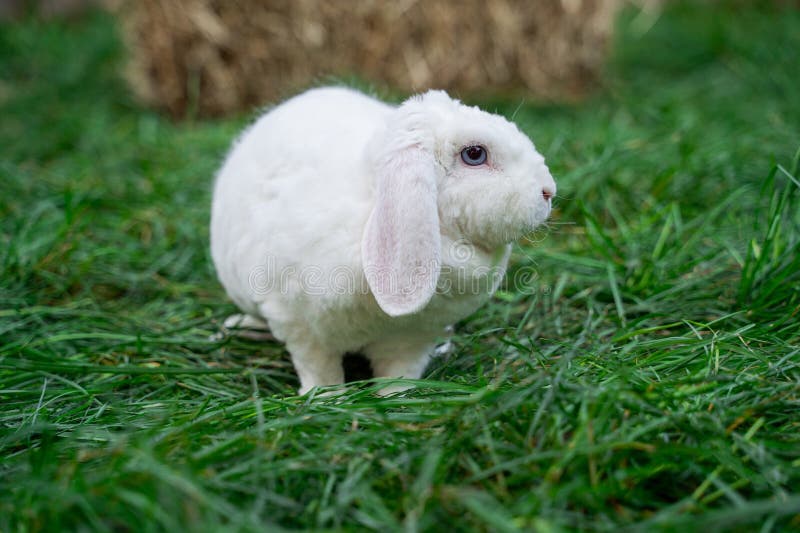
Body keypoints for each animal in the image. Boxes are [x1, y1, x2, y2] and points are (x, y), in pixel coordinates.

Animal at [210, 86, 556, 395]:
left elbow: (399, 374)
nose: (548, 190)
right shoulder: (302, 328)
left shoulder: (412, 339)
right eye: (474, 154)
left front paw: (396, 399)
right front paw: (325, 399)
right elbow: (319, 370)